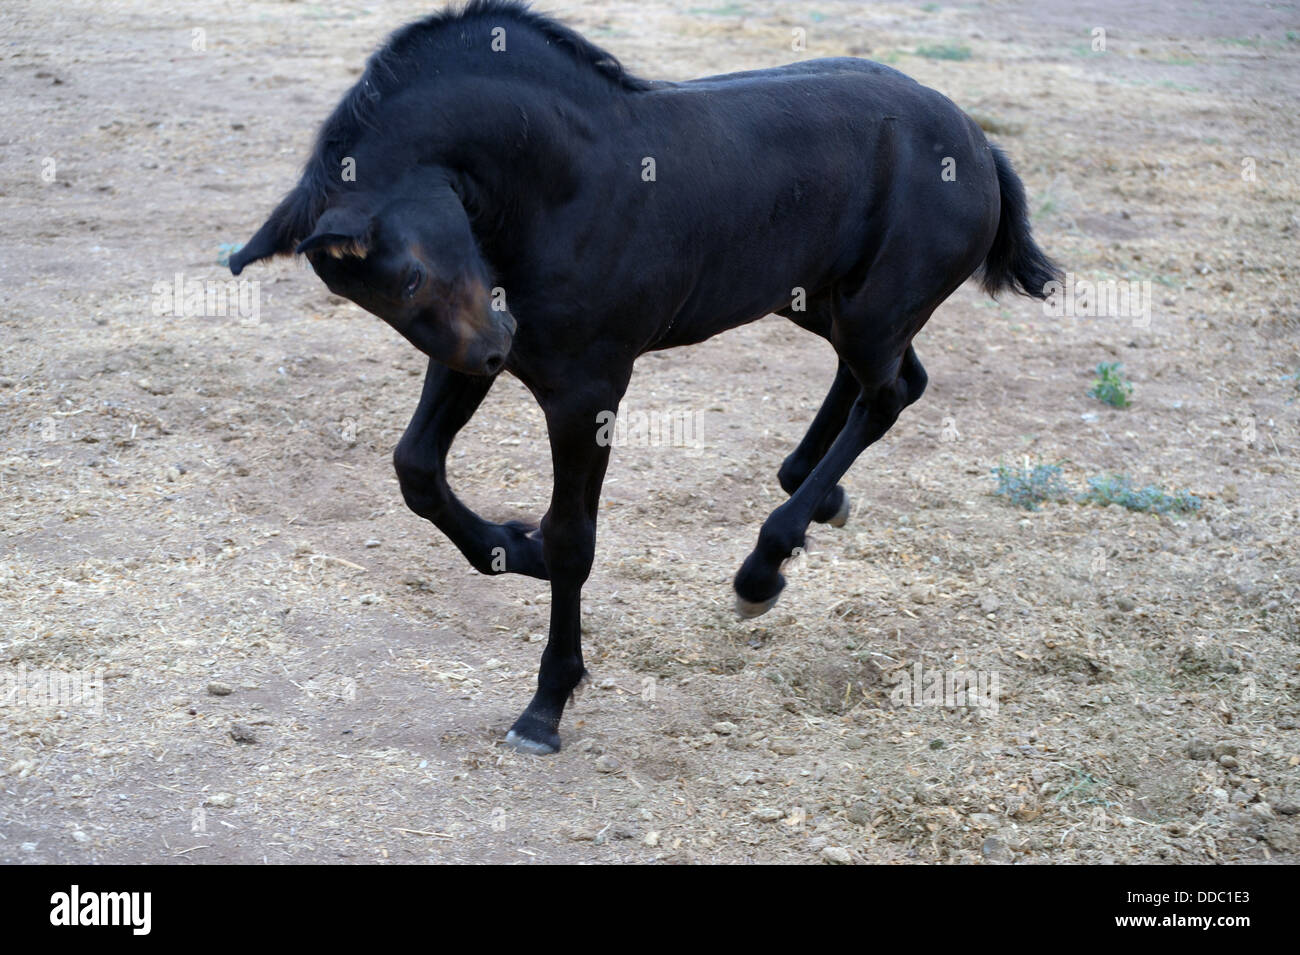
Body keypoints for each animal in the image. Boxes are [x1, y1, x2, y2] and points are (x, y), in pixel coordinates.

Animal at [229, 0, 1061, 754]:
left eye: (405, 277)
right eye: (363, 298)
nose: (499, 348)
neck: (559, 187)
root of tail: (980, 144)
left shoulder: (585, 389)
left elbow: (574, 538)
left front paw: (546, 705)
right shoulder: (468, 349)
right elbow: (417, 467)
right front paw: (514, 549)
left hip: (868, 309)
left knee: (887, 393)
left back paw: (764, 564)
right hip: (817, 300)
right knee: (892, 380)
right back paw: (813, 496)